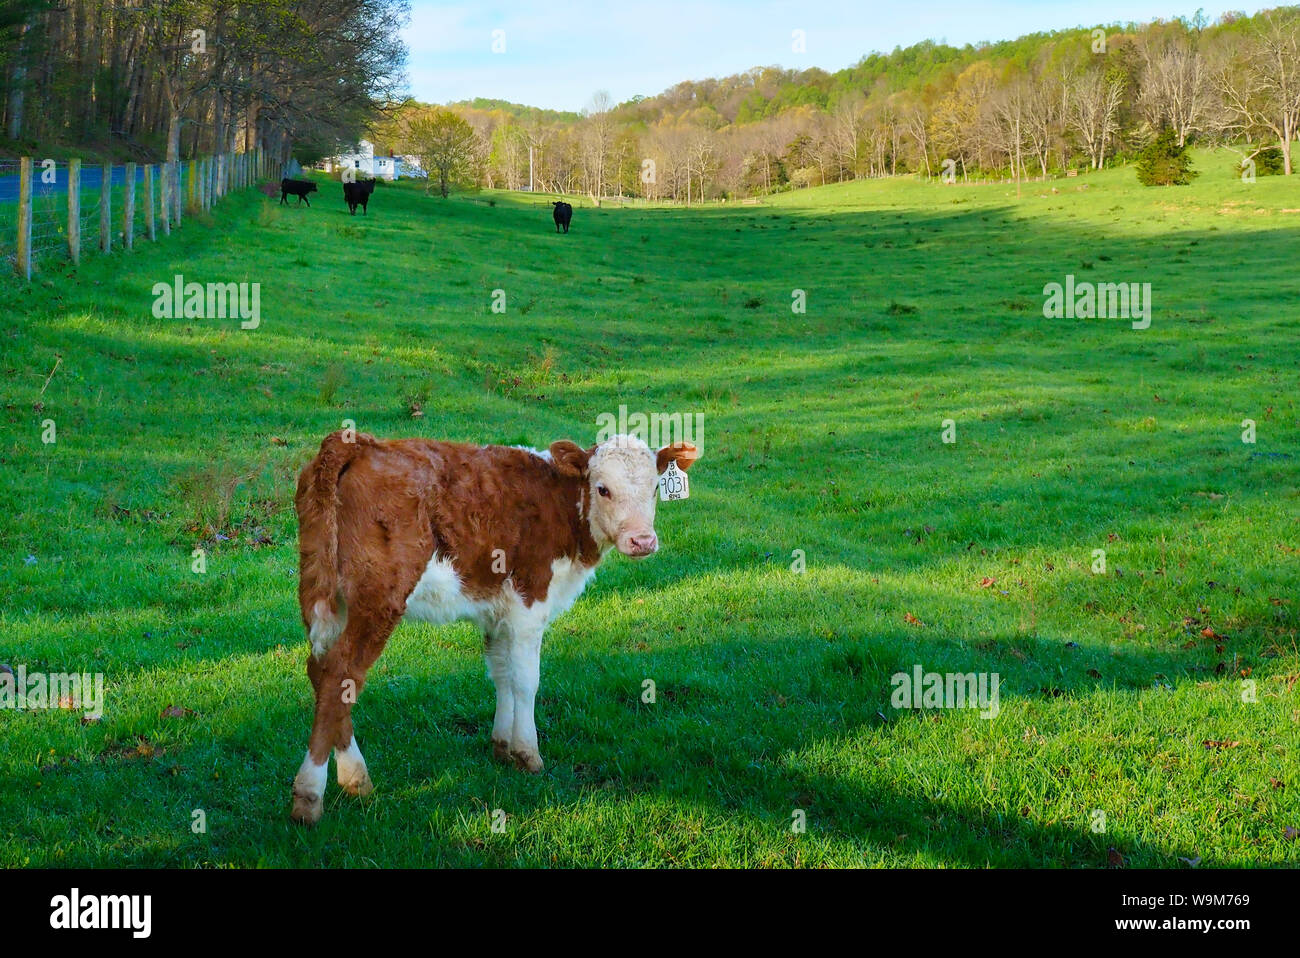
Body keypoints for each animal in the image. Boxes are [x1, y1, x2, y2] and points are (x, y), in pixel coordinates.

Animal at [289, 430, 700, 824]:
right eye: (603, 489)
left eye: (655, 487)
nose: (642, 541)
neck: (562, 504)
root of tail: (357, 443)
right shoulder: (530, 602)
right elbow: (526, 680)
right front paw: (528, 754)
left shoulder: (497, 609)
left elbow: (501, 673)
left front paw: (503, 747)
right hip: (377, 598)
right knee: (341, 674)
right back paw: (309, 795)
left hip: (324, 591)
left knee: (320, 669)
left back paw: (356, 779)